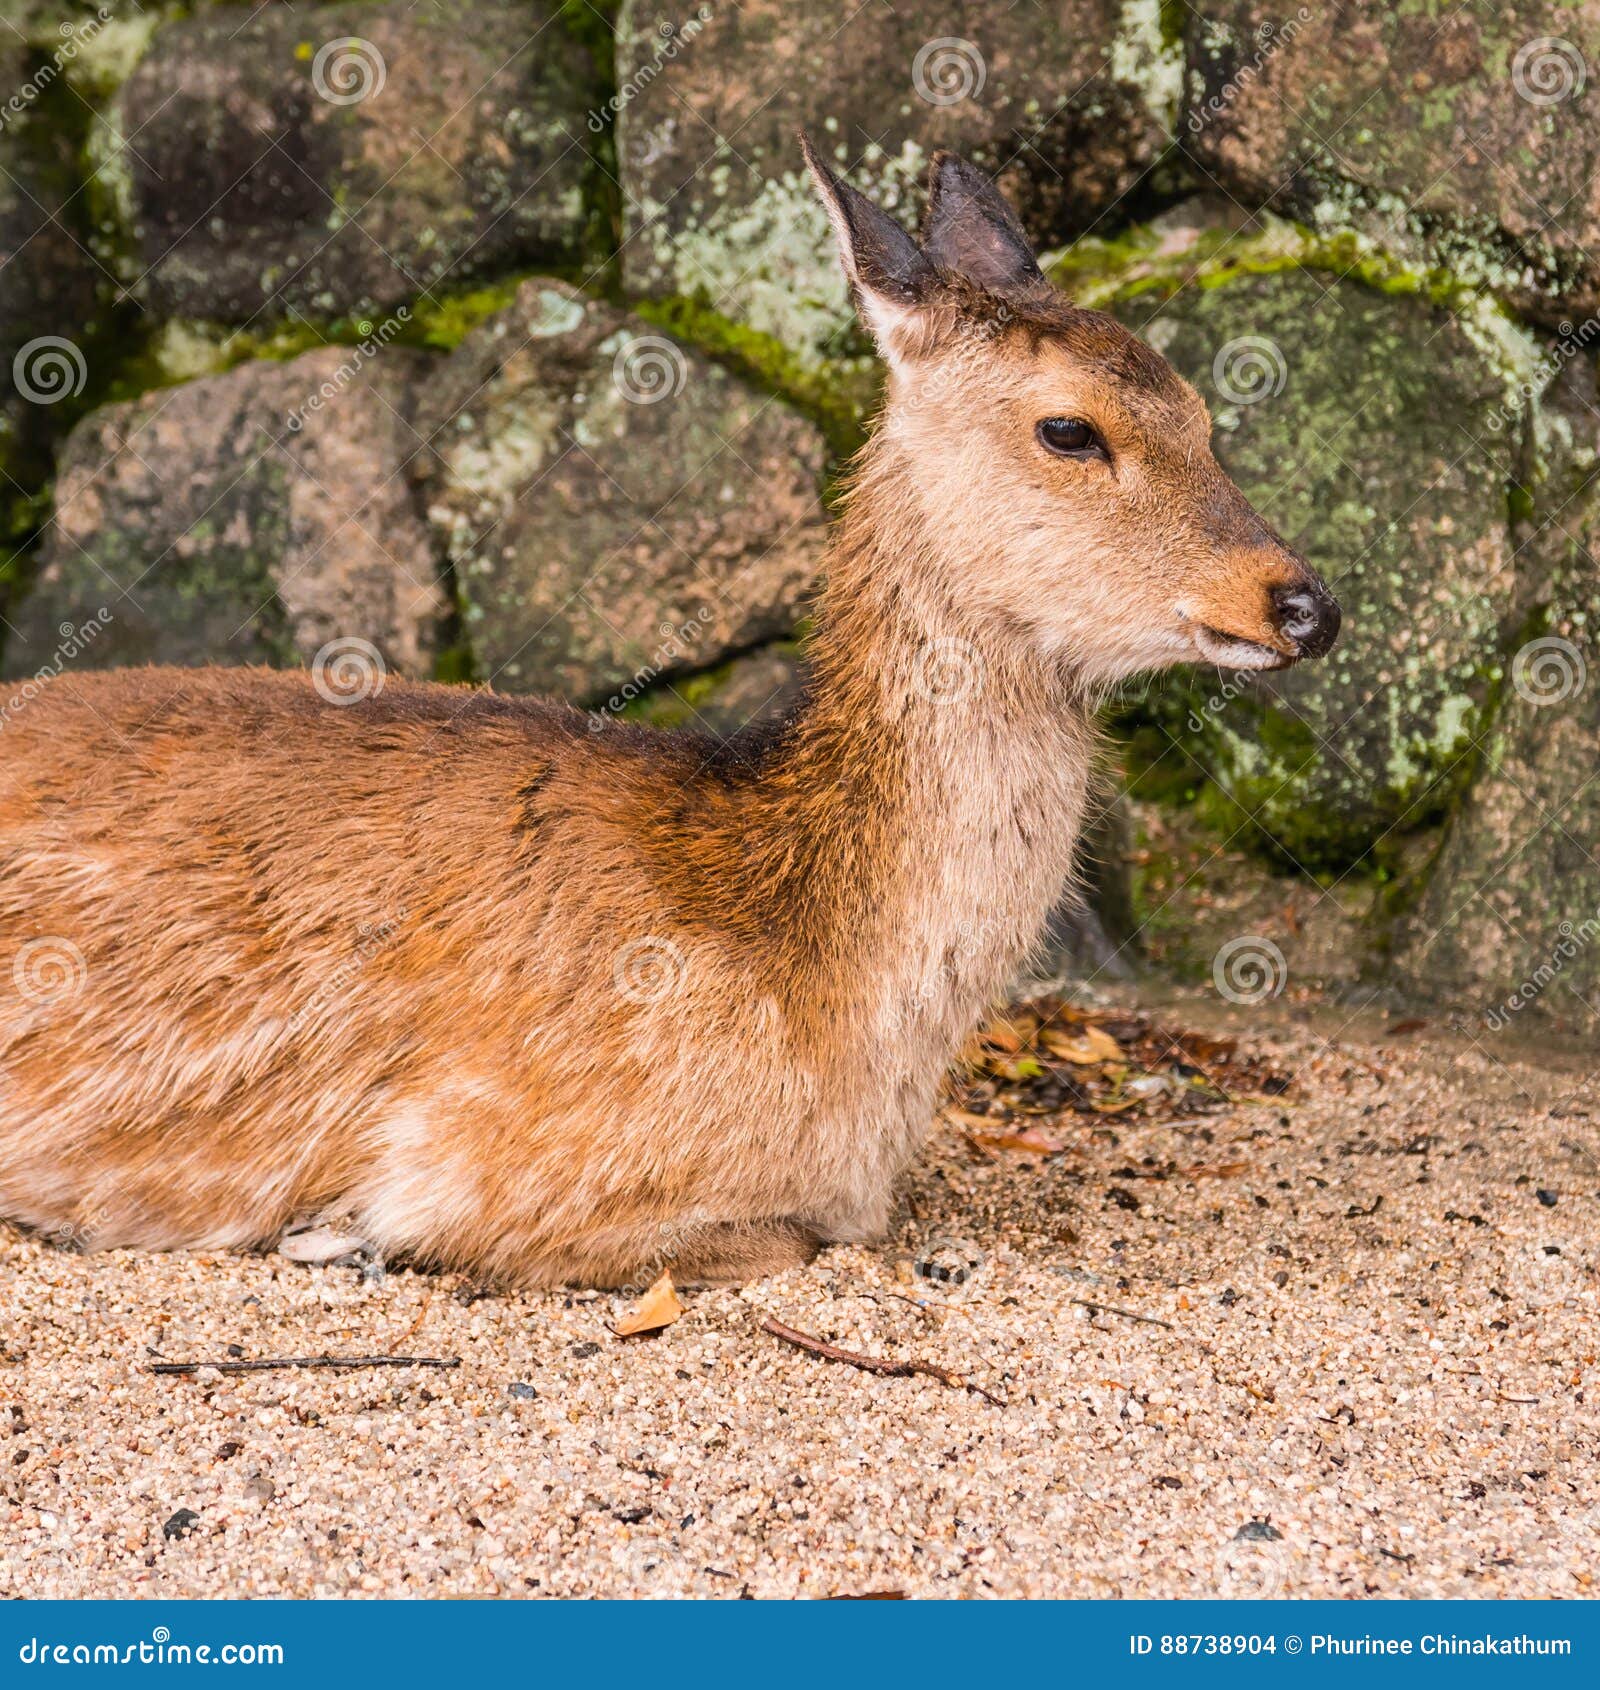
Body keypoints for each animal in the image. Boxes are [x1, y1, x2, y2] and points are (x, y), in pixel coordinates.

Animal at [0, 141, 1339, 1288]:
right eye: (1069, 428)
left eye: (1204, 416)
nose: (1303, 603)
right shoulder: (491, 1153)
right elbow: (771, 1240)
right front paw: (333, 1231)